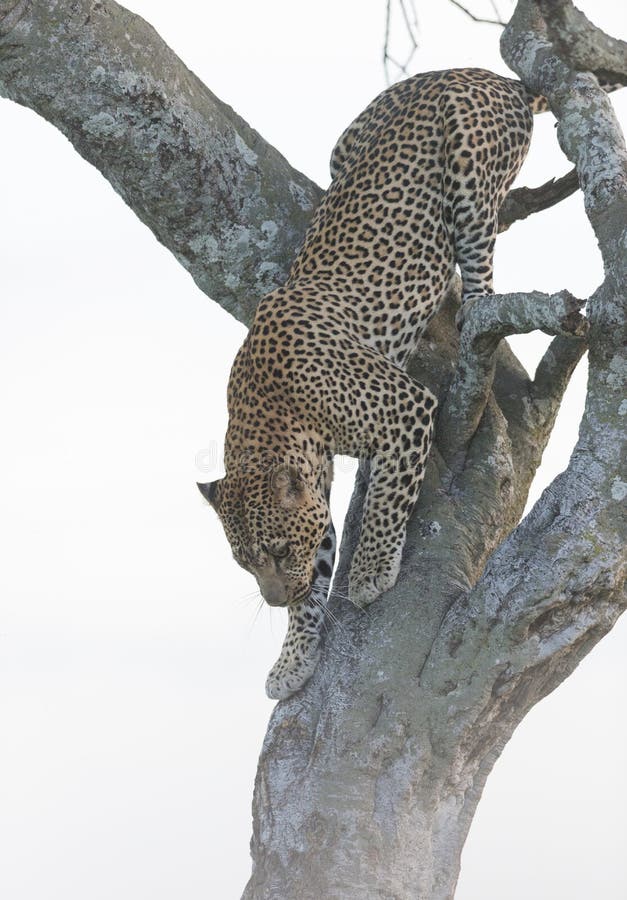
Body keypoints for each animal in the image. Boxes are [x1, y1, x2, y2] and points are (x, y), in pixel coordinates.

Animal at [199, 68, 542, 700]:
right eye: (243, 563)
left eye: (276, 551)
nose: (275, 597)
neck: (275, 408)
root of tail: (484, 73)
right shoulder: (316, 481)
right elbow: (319, 566)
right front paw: (294, 658)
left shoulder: (405, 407)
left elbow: (387, 501)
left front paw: (371, 573)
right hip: (344, 146)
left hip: (468, 169)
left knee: (480, 253)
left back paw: (474, 308)